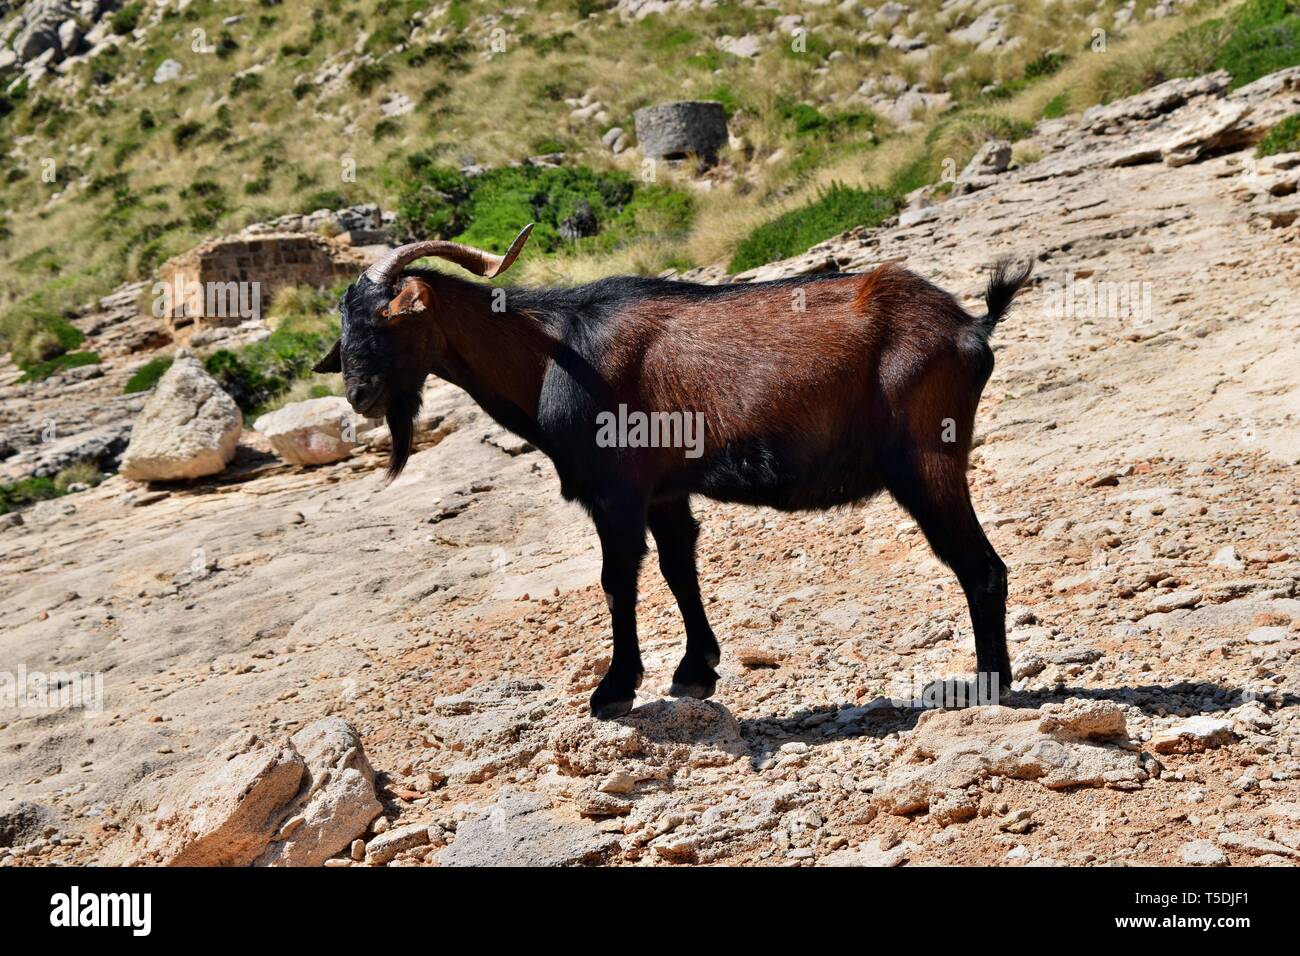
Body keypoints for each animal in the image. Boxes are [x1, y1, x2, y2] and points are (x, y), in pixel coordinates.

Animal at [314, 225, 1033, 718]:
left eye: (389, 316)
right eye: (344, 326)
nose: (360, 393)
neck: (553, 351)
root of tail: (971, 326)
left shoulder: (617, 492)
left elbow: (617, 581)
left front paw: (614, 689)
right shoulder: (664, 492)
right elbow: (678, 569)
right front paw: (695, 670)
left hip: (926, 461)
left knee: (981, 568)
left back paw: (984, 685)